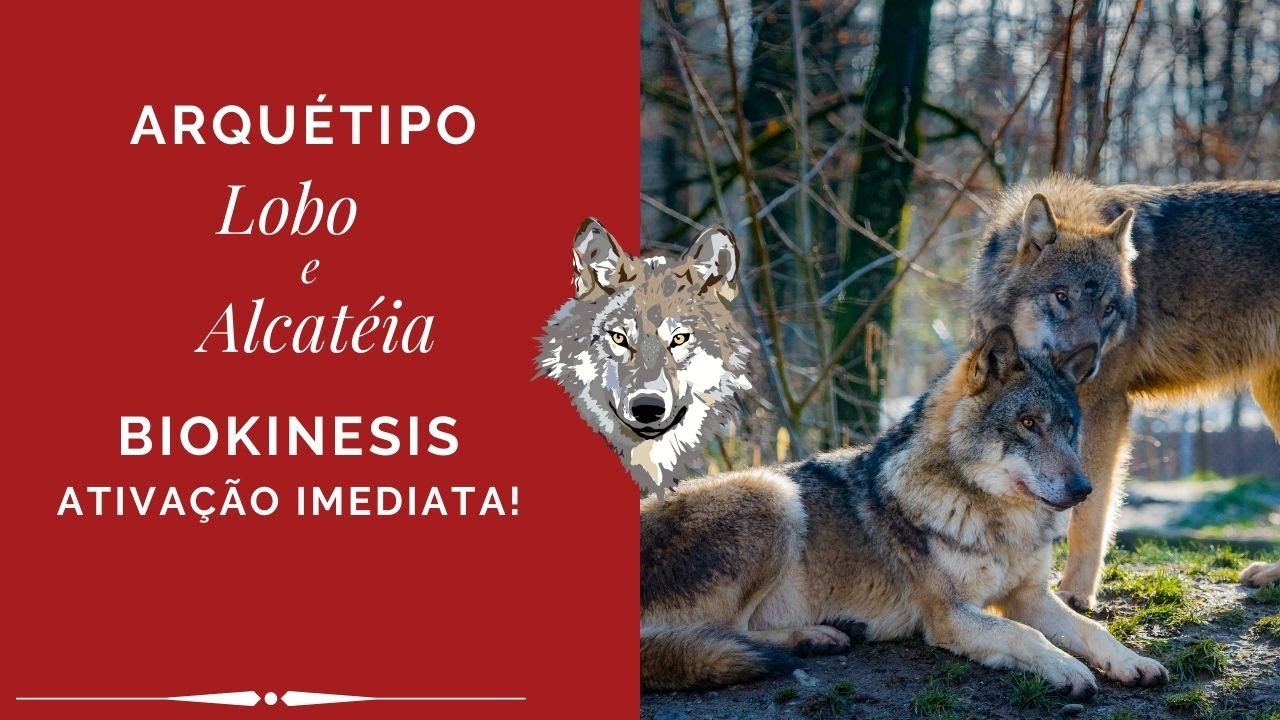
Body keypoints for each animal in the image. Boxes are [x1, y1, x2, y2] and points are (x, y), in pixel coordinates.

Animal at [640, 326, 1168, 697]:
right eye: (1027, 424)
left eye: (1067, 426)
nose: (1084, 489)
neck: (996, 521)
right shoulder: (950, 616)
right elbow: (1025, 637)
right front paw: (1067, 668)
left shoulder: (1028, 595)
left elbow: (1091, 629)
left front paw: (1131, 661)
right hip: (774, 493)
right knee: (725, 636)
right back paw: (815, 636)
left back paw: (826, 635)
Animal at [969, 176, 1280, 610]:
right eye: (1062, 296)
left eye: (1109, 309)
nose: (1087, 365)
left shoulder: (1104, 406)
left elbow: (1088, 513)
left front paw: (1075, 594)